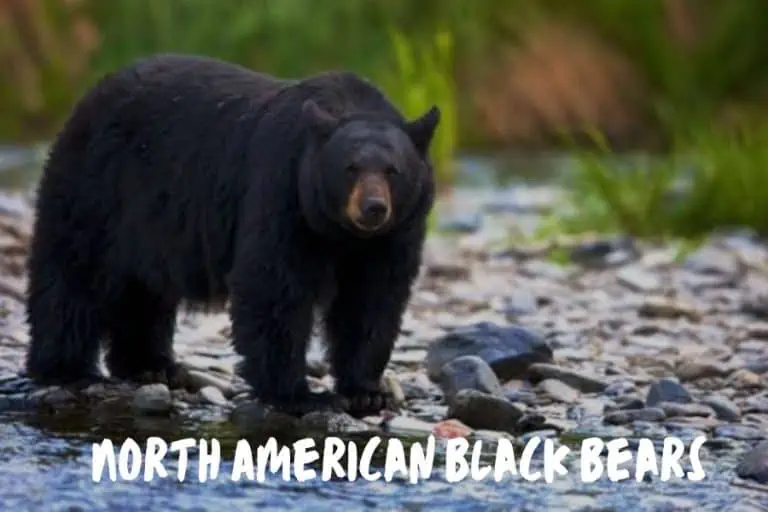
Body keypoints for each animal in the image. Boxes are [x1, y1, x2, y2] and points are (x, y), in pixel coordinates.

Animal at [23, 53, 440, 418]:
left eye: (393, 171)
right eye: (350, 168)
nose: (373, 208)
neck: (341, 232)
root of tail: (90, 95)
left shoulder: (394, 235)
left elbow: (372, 300)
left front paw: (366, 392)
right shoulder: (282, 191)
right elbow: (274, 285)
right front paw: (300, 395)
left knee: (143, 292)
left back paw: (152, 366)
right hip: (97, 187)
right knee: (73, 275)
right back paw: (67, 368)